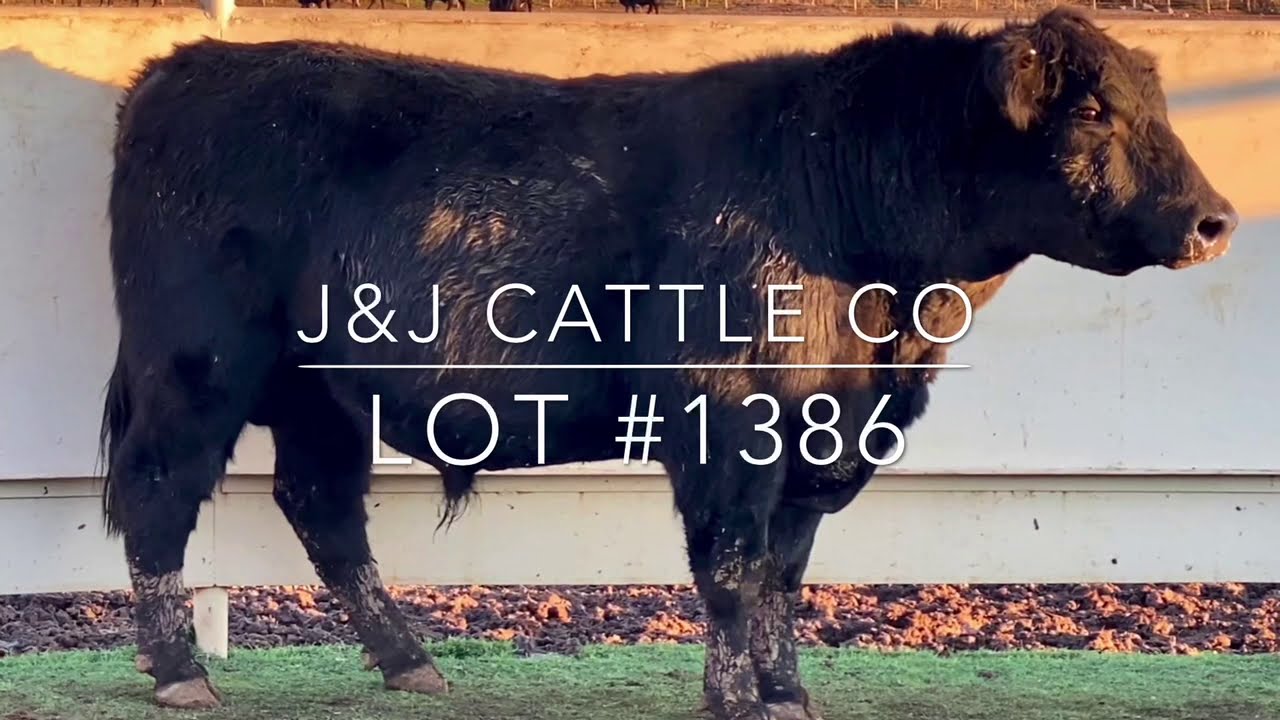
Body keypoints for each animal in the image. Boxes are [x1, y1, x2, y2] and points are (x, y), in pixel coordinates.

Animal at [97, 7, 1236, 719]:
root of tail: (179, 72)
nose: (1214, 220)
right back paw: (181, 671)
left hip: (320, 393)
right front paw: (733, 699)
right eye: (1088, 108)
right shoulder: (727, 421)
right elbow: (730, 569)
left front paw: (786, 693)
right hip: (195, 363)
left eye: (1152, 103)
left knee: (321, 506)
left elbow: (784, 571)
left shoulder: (817, 434)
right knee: (158, 491)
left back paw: (410, 662)